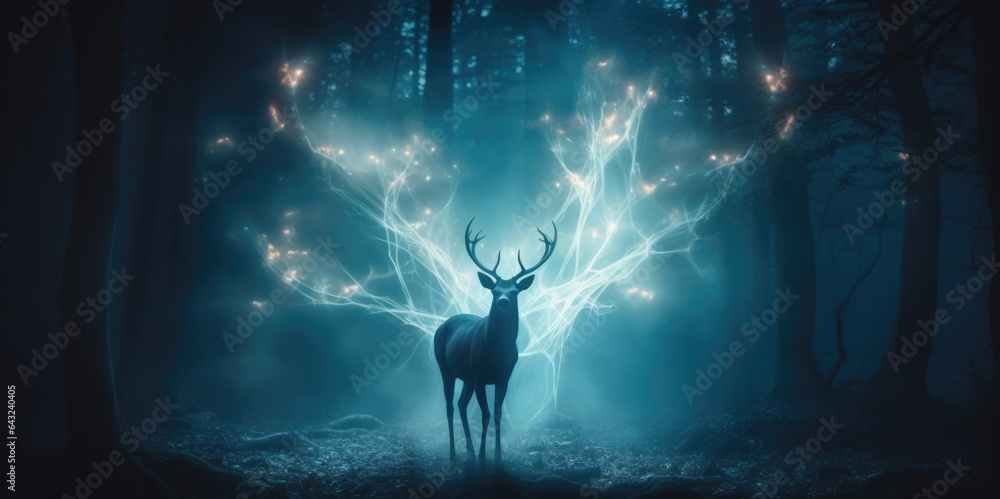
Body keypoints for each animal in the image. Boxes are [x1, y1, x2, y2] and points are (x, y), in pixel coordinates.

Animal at [433, 218, 557, 469]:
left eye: (515, 291)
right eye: (494, 290)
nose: (503, 301)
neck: (496, 351)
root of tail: (440, 326)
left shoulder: (503, 376)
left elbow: (498, 414)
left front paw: (498, 457)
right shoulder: (480, 375)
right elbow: (486, 414)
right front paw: (483, 458)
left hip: (467, 377)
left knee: (461, 404)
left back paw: (469, 452)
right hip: (445, 367)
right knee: (450, 406)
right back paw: (454, 454)